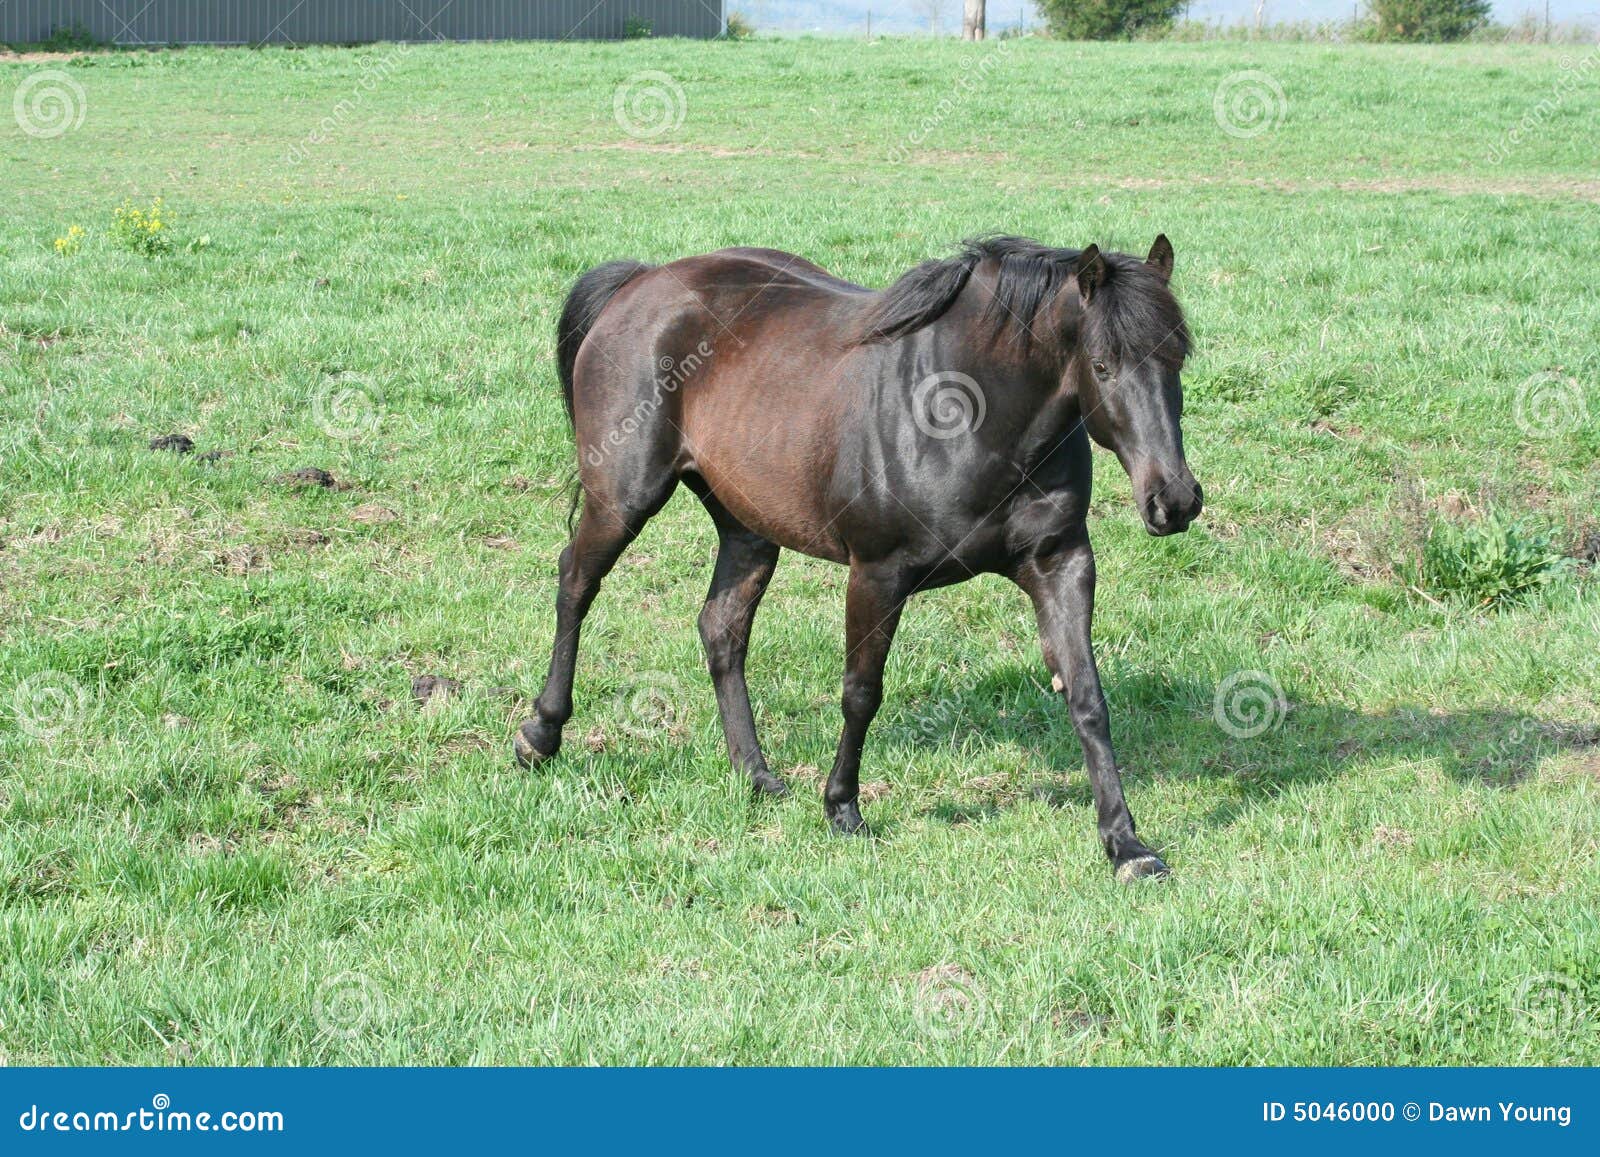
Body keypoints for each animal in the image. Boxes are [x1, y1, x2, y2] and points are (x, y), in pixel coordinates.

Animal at [515, 235, 1202, 882]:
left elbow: (1087, 698)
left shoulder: (1061, 565)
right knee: (575, 582)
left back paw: (754, 773)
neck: (969, 416)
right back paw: (540, 735)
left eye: (1178, 355)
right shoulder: (878, 574)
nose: (1173, 500)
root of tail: (642, 282)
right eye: (1102, 364)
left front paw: (1126, 844)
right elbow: (861, 692)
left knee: (721, 629)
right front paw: (842, 808)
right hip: (623, 500)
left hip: (747, 528)